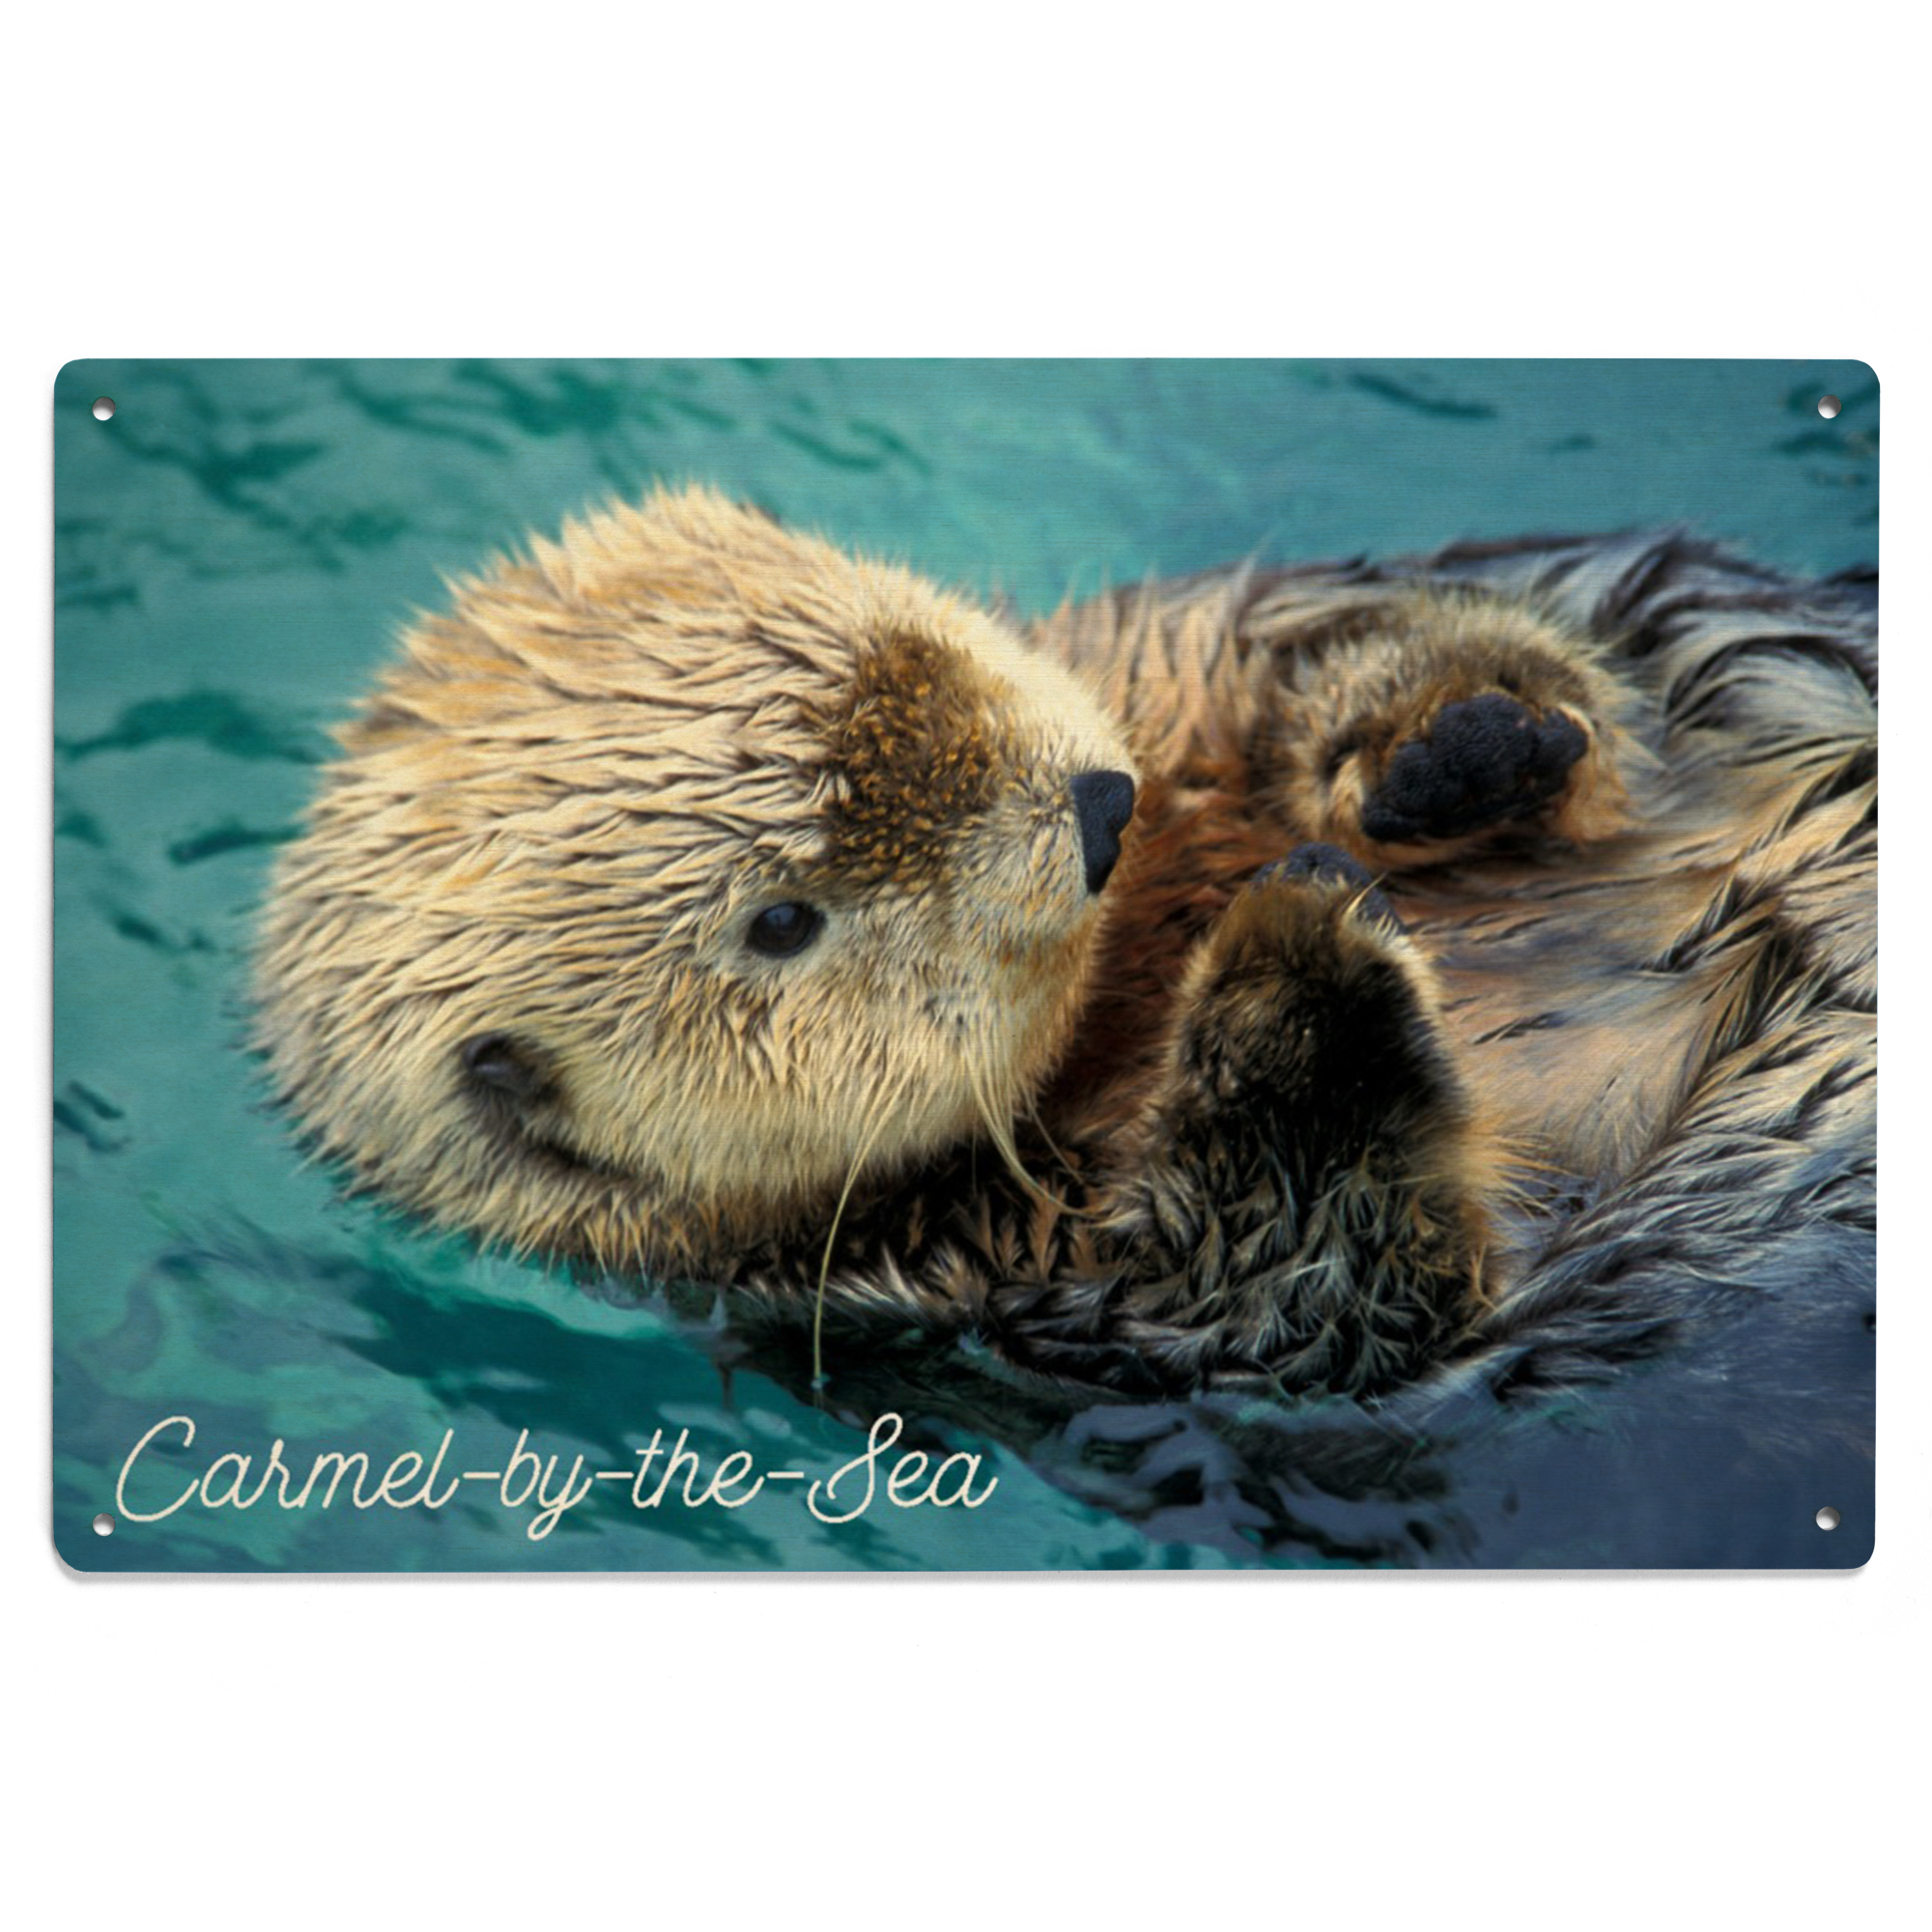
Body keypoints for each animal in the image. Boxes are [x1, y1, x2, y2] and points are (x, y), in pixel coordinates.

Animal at [254, 487, 1876, 1398]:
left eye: (936, 654)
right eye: (782, 921)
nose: (1099, 811)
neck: (1143, 948)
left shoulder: (1179, 657)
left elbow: (1446, 648)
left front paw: (1454, 745)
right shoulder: (1022, 1279)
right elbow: (1317, 1278)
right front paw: (1295, 978)